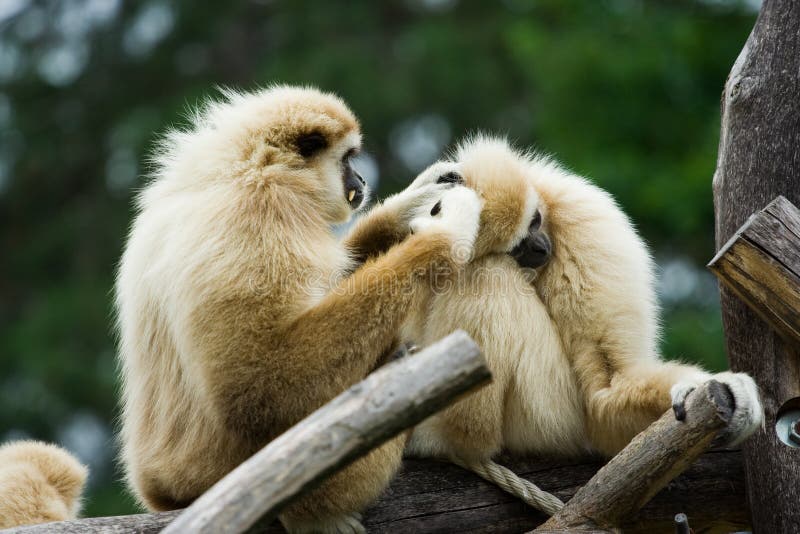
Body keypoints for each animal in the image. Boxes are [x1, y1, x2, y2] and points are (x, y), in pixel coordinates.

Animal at [114, 86, 482, 533]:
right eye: (347, 159)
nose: (361, 179)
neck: (244, 167)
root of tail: (159, 490)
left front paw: (413, 201)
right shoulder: (258, 211)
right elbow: (259, 388)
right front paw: (448, 232)